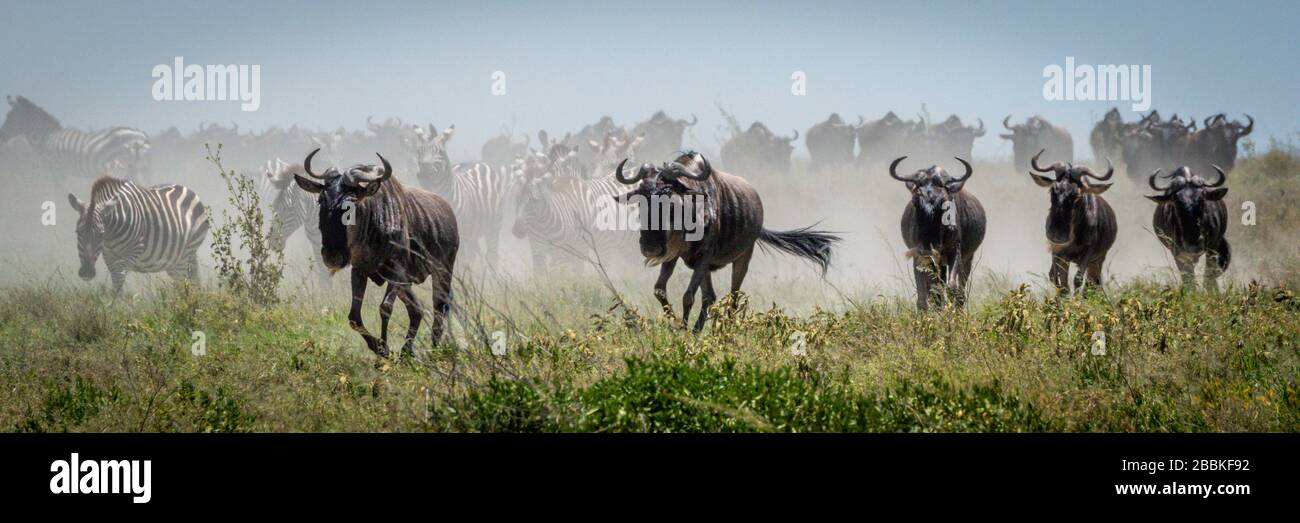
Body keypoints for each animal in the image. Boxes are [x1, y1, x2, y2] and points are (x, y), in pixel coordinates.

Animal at [66, 177, 210, 293]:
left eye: (101, 234)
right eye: (78, 232)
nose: (86, 272)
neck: (111, 233)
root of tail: (185, 188)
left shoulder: (133, 251)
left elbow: (119, 280)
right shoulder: (108, 255)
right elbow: (117, 286)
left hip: (186, 253)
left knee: (185, 282)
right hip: (174, 260)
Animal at [403, 124, 515, 267]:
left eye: (440, 152)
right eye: (419, 152)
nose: (424, 173)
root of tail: (477, 163)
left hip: (494, 225)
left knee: (491, 254)